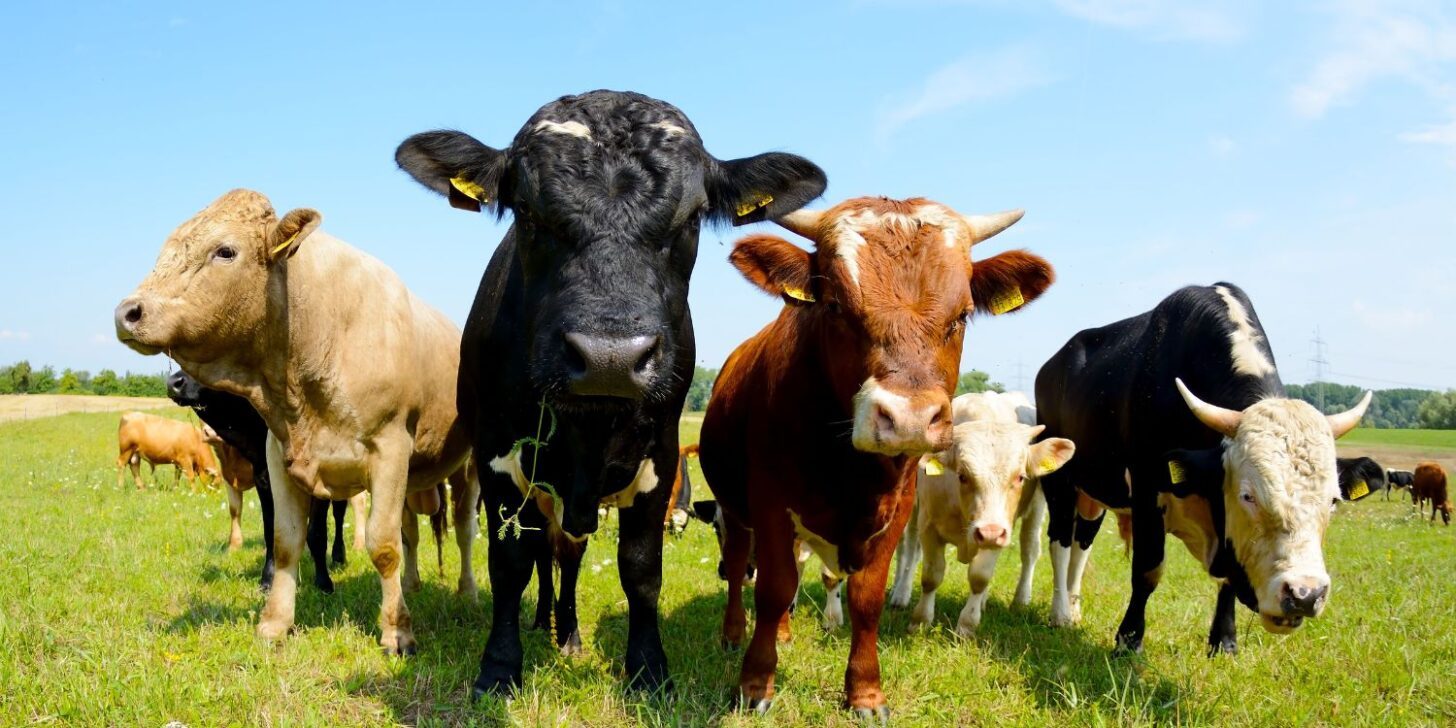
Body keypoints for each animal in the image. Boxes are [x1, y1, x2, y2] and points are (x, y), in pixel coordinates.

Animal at [168, 370, 363, 592]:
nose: (173, 383)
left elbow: (318, 533)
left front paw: (323, 582)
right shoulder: (264, 479)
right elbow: (271, 531)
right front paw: (268, 578)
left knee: (339, 515)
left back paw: (339, 556)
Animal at [394, 89, 826, 696]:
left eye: (693, 217)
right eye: (527, 212)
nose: (609, 358)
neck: (588, 428)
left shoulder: (660, 460)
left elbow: (641, 568)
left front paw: (647, 668)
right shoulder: (497, 456)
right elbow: (510, 562)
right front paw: (500, 667)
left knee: (568, 554)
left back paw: (568, 632)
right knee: (546, 553)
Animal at [699, 196, 1054, 717]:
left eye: (962, 315)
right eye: (834, 305)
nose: (909, 417)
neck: (847, 467)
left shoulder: (898, 509)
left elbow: (867, 597)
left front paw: (865, 692)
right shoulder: (769, 504)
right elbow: (773, 586)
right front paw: (755, 684)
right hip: (733, 507)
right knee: (741, 560)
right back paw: (731, 633)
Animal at [897, 392, 1075, 636]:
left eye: (1020, 477)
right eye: (962, 475)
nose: (989, 532)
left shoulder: (1000, 529)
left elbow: (980, 577)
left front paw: (967, 626)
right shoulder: (929, 525)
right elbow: (931, 576)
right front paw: (920, 621)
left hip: (1037, 507)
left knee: (1029, 550)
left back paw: (1018, 600)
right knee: (910, 548)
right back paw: (900, 595)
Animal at [1036, 283, 1371, 656]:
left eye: (1333, 501)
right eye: (1248, 496)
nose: (1304, 594)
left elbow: (1226, 581)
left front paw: (1224, 641)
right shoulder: (1147, 488)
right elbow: (1148, 570)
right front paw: (1128, 640)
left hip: (1095, 493)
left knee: (1082, 544)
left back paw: (1074, 609)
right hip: (1060, 481)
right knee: (1061, 541)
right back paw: (1060, 613)